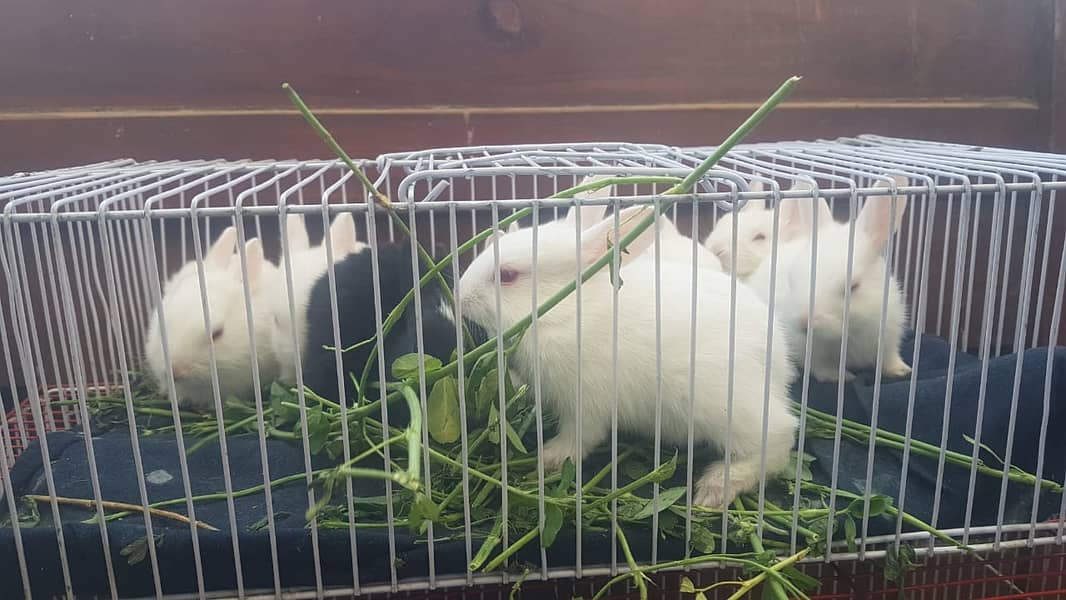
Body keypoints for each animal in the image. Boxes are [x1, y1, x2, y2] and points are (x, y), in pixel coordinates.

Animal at [459, 204, 798, 508]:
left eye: (507, 274)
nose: (461, 295)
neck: (566, 313)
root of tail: (778, 362)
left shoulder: (584, 403)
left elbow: (578, 438)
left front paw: (547, 459)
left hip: (729, 408)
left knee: (777, 439)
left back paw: (714, 489)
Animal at [747, 176, 911, 383]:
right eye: (792, 280)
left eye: (853, 286)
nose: (804, 322)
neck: (849, 334)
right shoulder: (809, 351)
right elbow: (821, 367)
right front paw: (842, 377)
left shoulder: (889, 334)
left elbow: (889, 358)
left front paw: (901, 371)